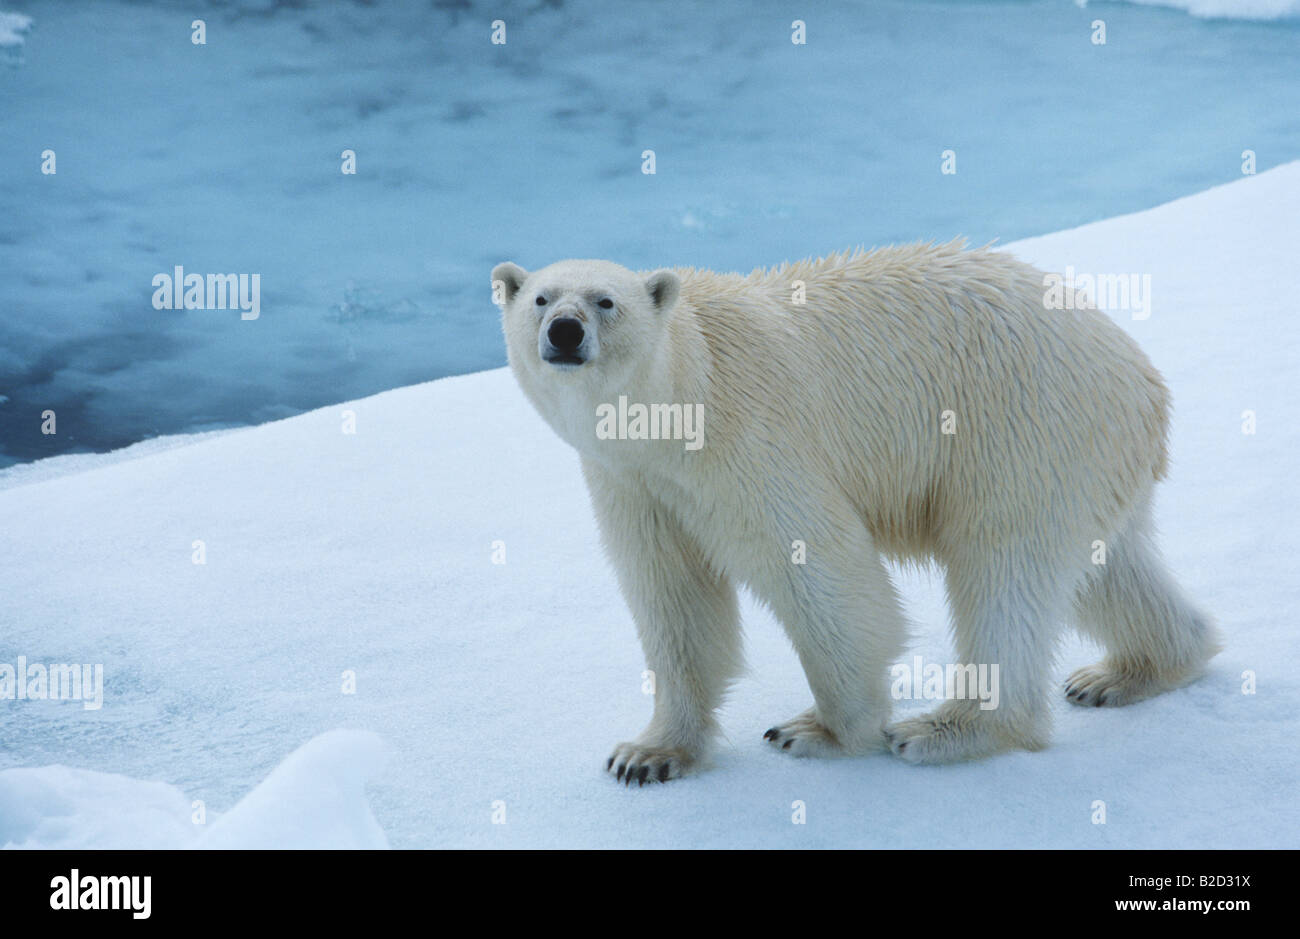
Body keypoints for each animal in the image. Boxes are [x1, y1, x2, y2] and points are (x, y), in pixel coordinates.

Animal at [492, 242, 1220, 785]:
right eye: (540, 298)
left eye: (605, 301)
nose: (564, 331)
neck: (680, 397)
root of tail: (1145, 382)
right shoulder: (634, 481)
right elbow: (672, 595)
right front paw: (647, 753)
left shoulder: (746, 443)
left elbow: (822, 570)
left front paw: (820, 729)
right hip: (1084, 458)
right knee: (1104, 567)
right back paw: (1130, 670)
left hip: (1022, 427)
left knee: (1005, 569)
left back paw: (948, 728)